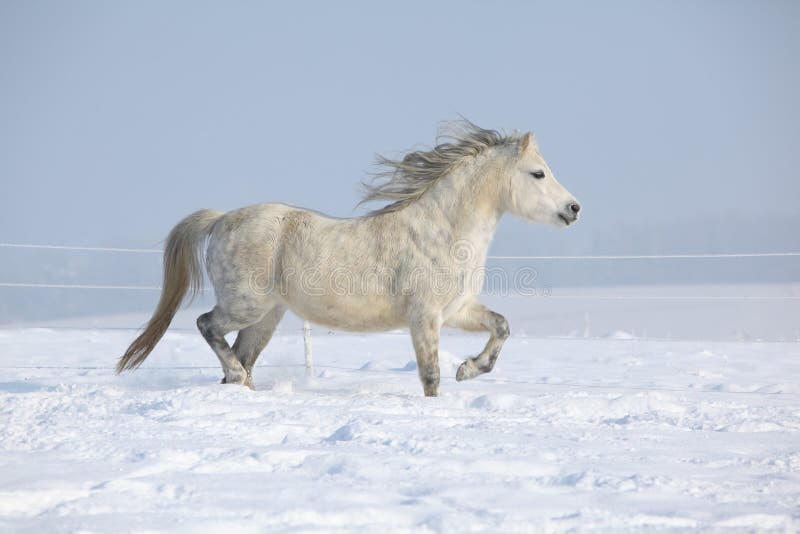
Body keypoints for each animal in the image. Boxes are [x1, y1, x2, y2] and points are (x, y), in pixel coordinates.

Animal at [117, 120, 581, 396]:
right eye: (538, 173)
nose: (574, 209)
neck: (442, 230)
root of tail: (220, 219)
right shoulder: (424, 318)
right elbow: (429, 376)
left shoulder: (458, 310)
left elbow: (501, 325)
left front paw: (468, 368)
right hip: (245, 305)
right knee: (207, 326)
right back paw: (234, 377)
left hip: (266, 316)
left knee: (242, 355)